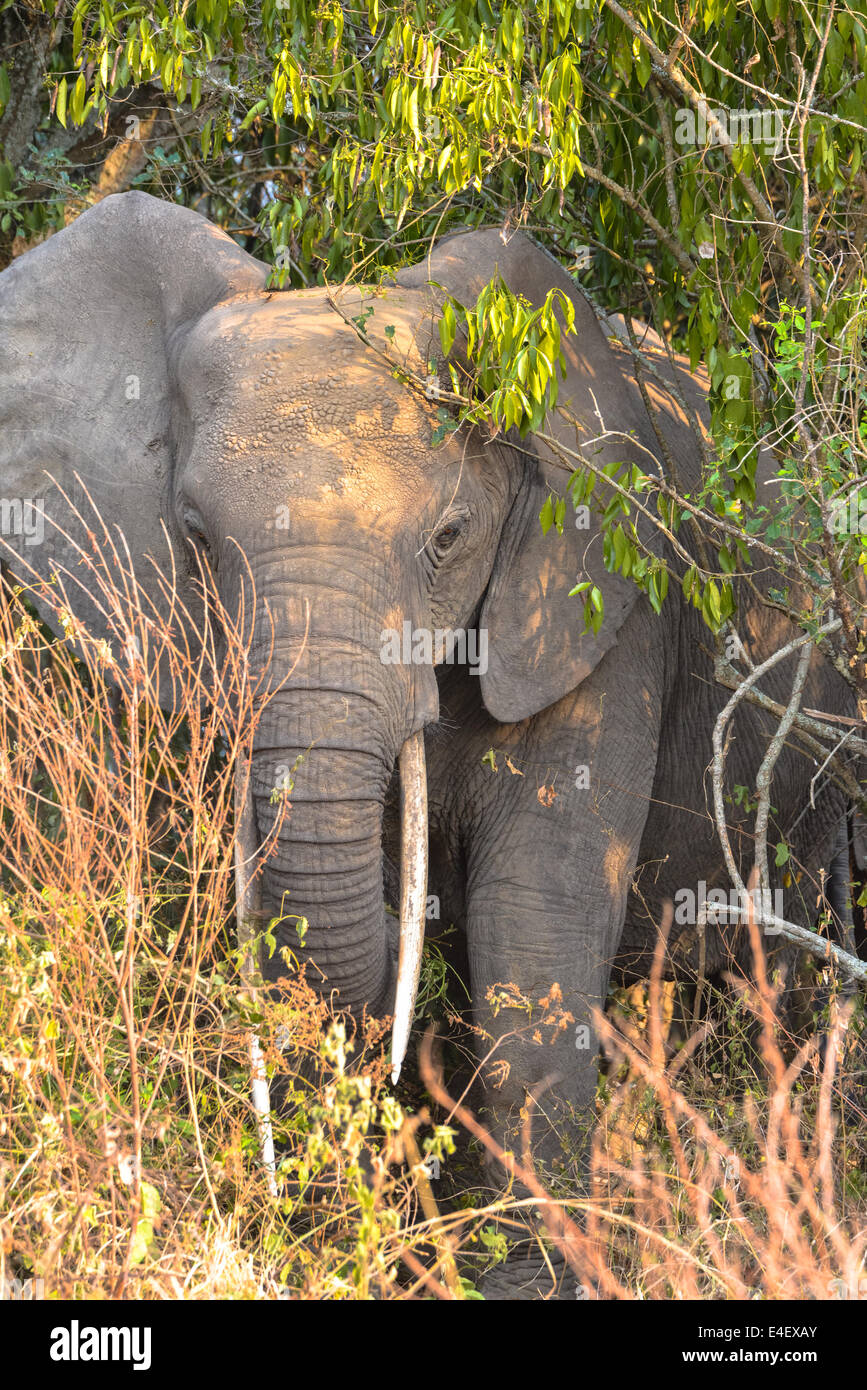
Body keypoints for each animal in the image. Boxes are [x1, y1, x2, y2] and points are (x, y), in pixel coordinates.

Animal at [0, 192, 859, 1297]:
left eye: (449, 538)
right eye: (193, 535)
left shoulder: (600, 607)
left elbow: (533, 915)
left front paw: (525, 1282)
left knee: (777, 985)